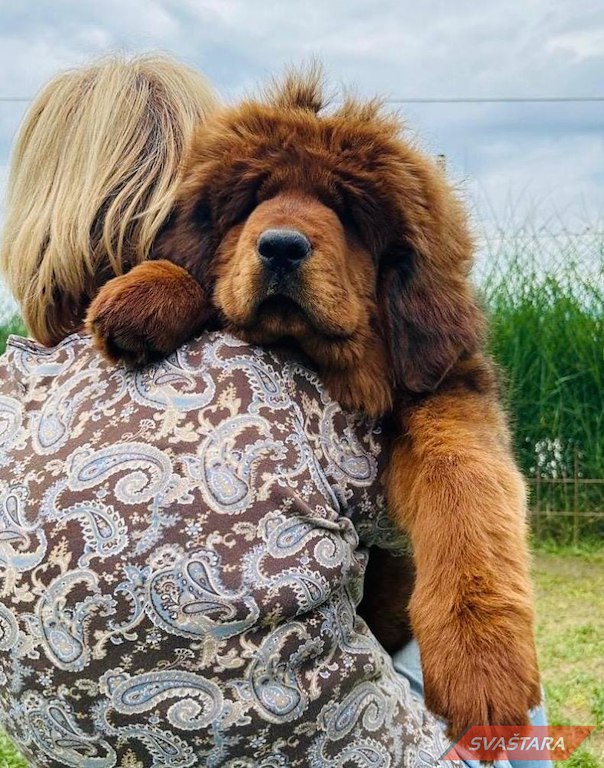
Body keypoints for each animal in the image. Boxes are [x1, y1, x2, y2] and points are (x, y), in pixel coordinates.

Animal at [84, 70, 536, 736]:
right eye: (251, 202)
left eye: (346, 212)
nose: (279, 247)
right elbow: (203, 279)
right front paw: (147, 291)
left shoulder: (449, 387)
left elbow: (463, 482)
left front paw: (482, 657)